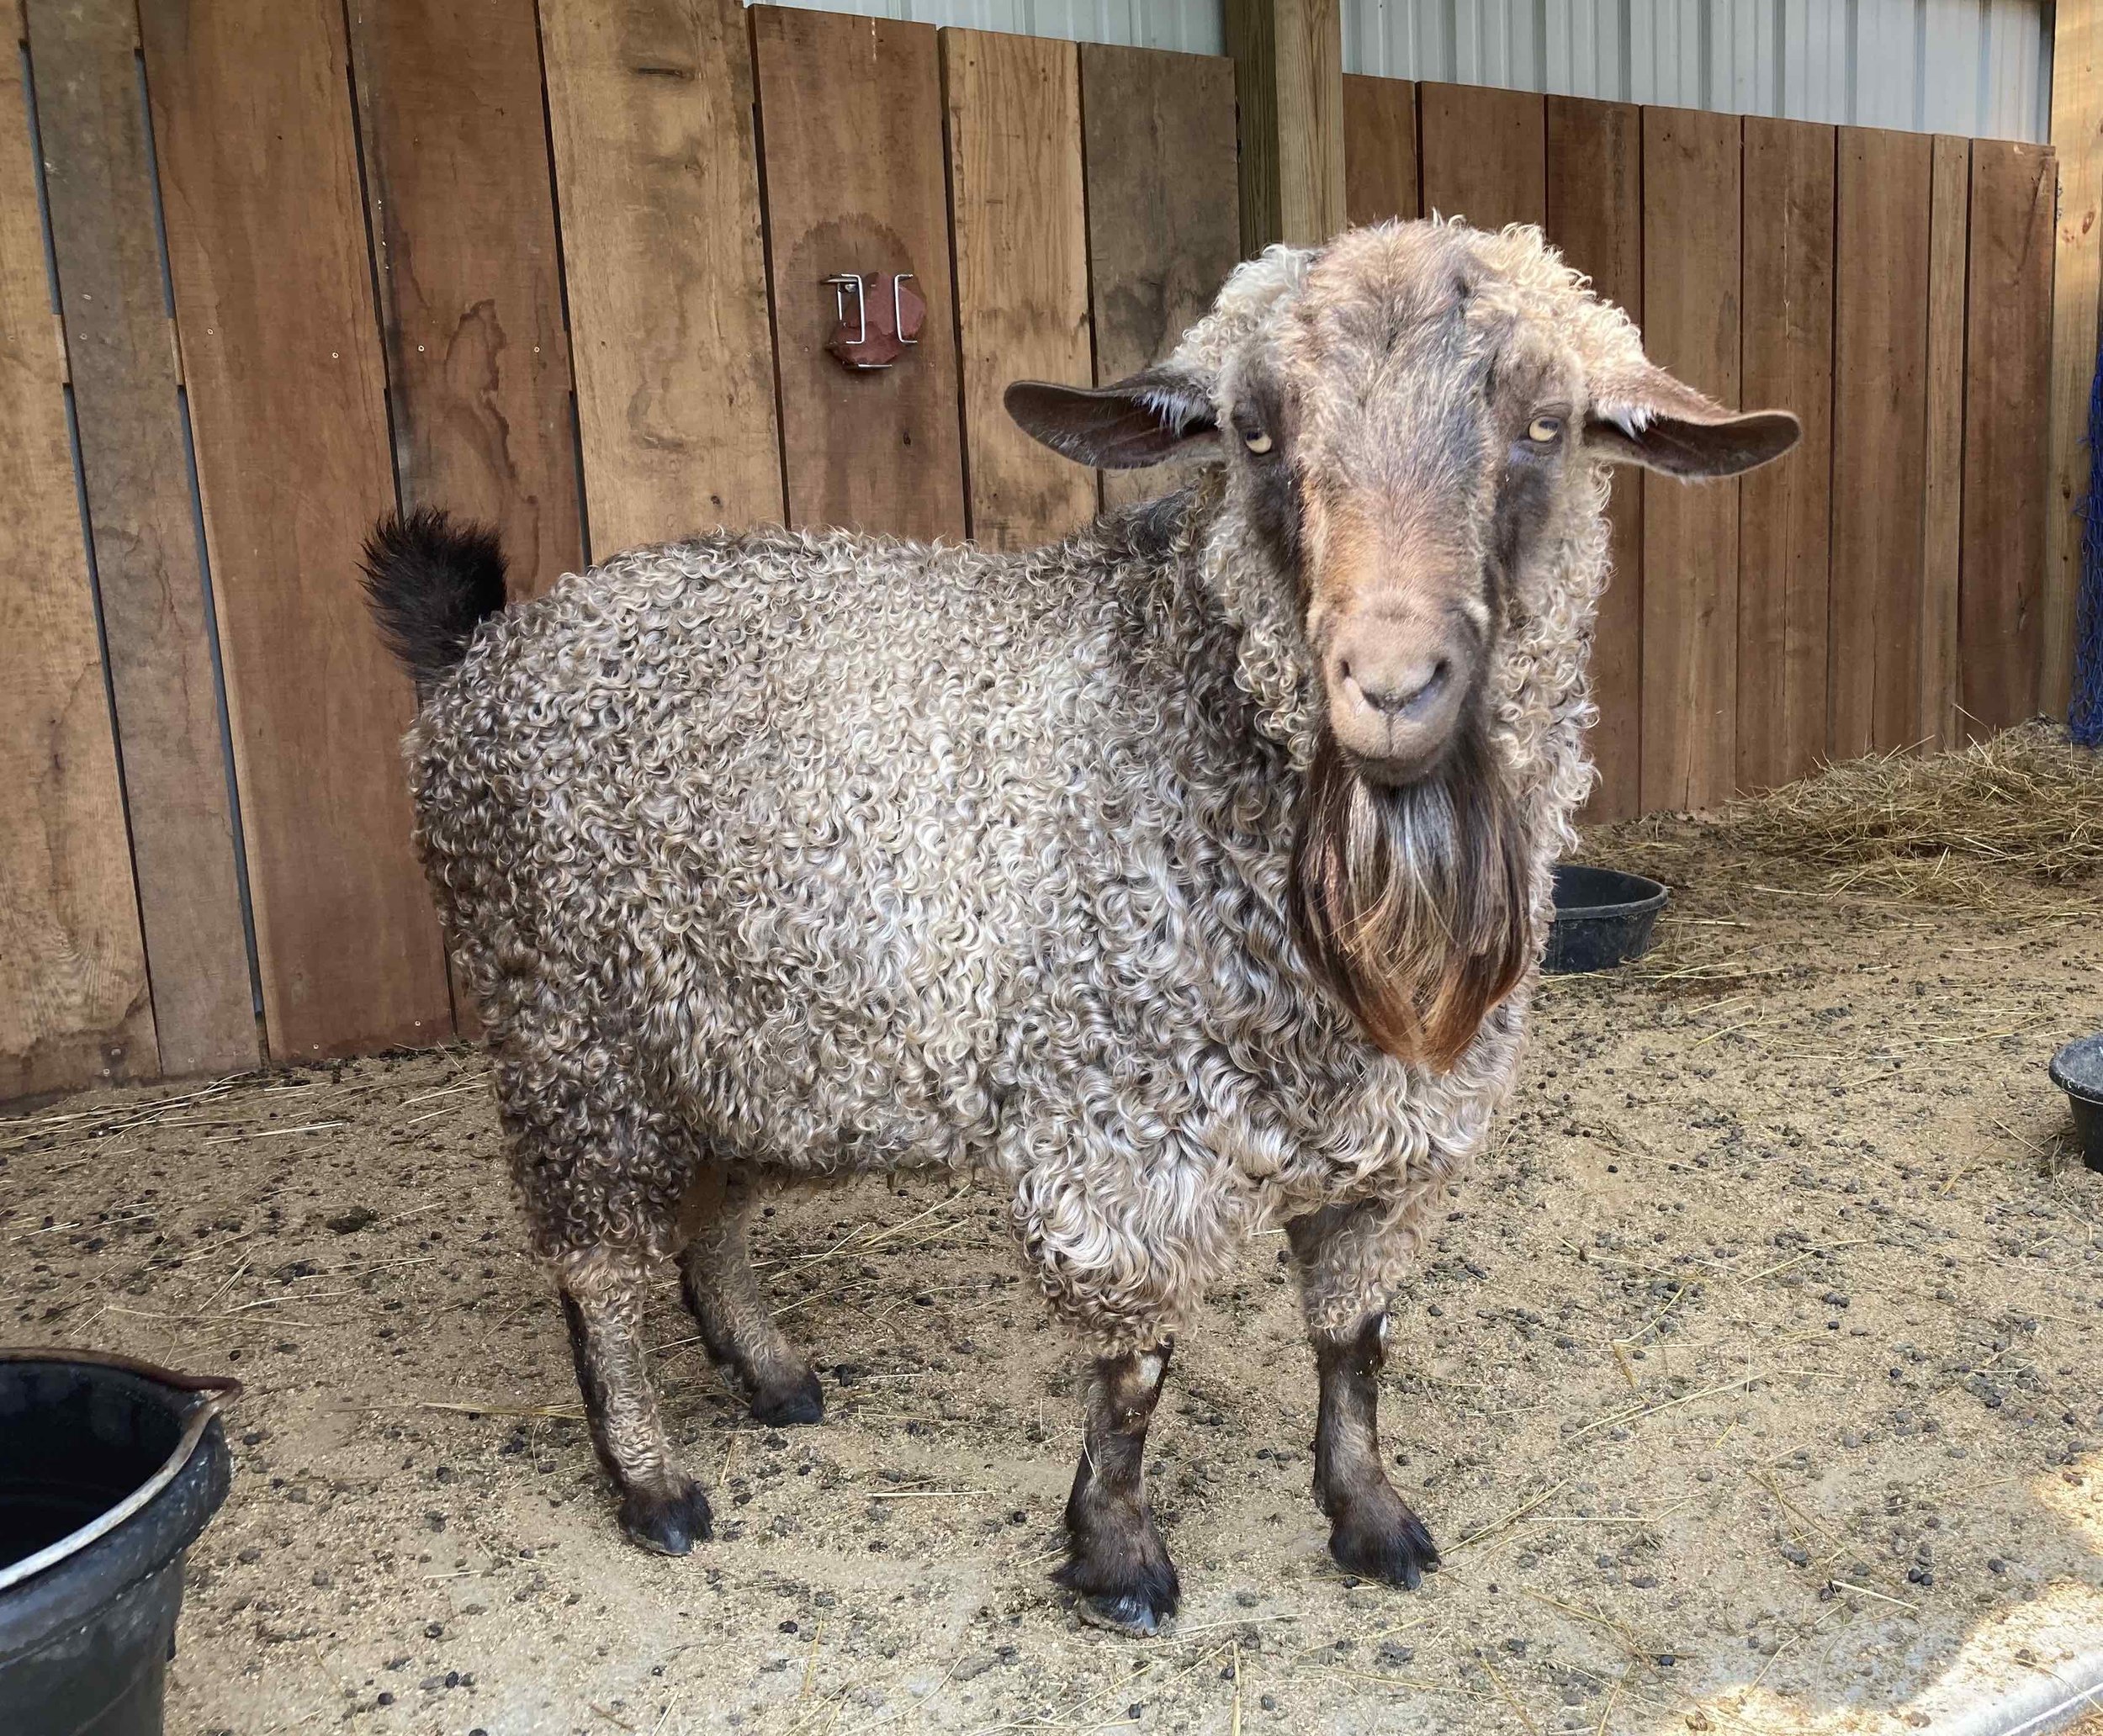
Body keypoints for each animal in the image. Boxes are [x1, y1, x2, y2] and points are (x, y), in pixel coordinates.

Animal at [363, 220, 1797, 1634]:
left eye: (1548, 423)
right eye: (1254, 434)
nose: (1389, 685)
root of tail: (479, 652)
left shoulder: (1395, 1144)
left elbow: (1353, 1344)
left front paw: (1372, 1519)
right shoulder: (1109, 1122)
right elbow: (1134, 1364)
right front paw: (1117, 1559)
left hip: (736, 1038)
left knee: (711, 1215)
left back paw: (772, 1378)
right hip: (568, 1031)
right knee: (598, 1272)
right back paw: (655, 1487)